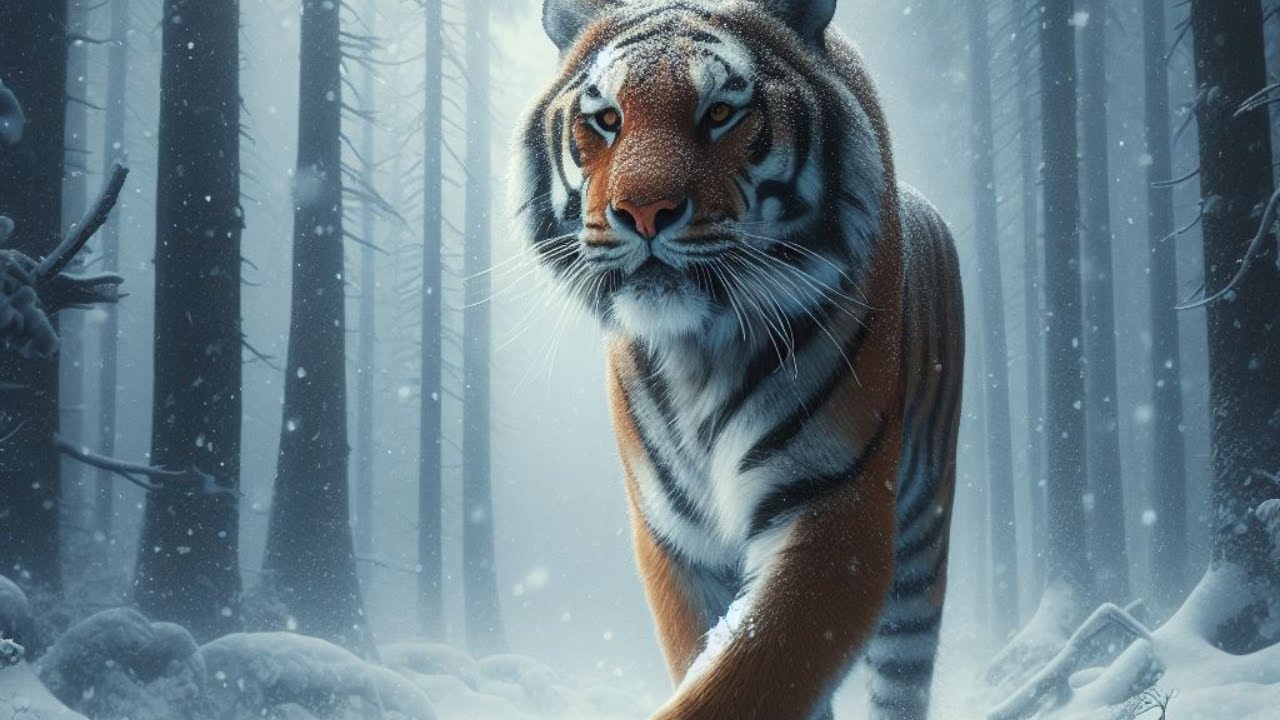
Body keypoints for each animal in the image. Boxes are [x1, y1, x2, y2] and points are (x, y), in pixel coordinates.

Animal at [511, 1, 964, 718]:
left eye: (720, 112)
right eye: (607, 119)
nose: (644, 211)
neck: (698, 351)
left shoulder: (837, 506)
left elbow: (752, 677)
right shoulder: (675, 538)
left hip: (921, 550)